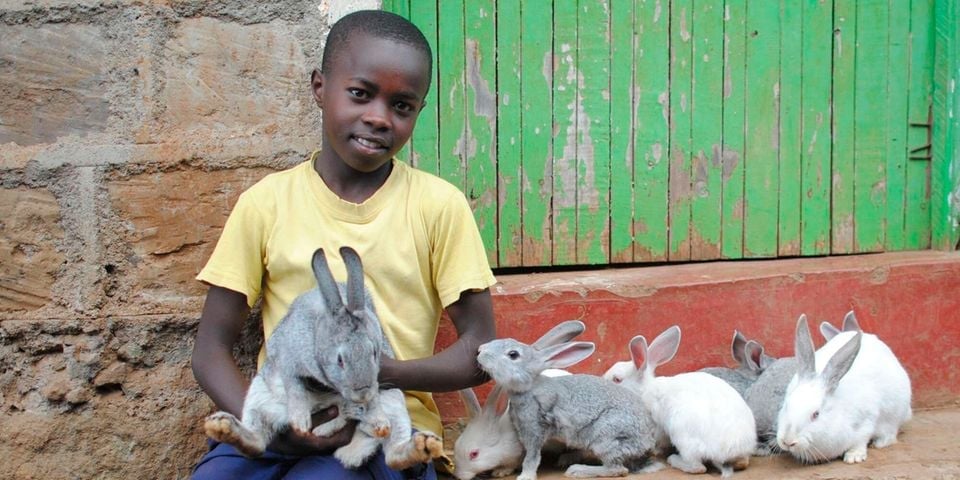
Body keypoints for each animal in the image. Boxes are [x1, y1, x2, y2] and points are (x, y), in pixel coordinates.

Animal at [204, 246, 442, 470]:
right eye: (340, 360)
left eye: (374, 353)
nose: (361, 394)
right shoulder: (288, 361)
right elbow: (295, 389)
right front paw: (300, 422)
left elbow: (375, 399)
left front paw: (379, 421)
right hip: (259, 396)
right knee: (256, 442)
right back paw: (222, 427)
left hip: (394, 402)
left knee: (394, 456)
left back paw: (421, 445)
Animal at [476, 320, 659, 480]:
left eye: (513, 354)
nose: (479, 350)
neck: (529, 387)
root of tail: (647, 441)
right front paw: (504, 470)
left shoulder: (534, 429)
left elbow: (532, 457)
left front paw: (525, 476)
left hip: (606, 438)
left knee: (617, 469)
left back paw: (577, 470)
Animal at [613, 325, 756, 478]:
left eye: (617, 379)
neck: (645, 390)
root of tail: (725, 452)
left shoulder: (657, 425)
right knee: (742, 462)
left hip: (682, 437)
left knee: (698, 467)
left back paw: (674, 460)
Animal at [775, 313, 912, 464]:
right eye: (786, 406)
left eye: (816, 414)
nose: (788, 441)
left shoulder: (866, 421)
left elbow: (861, 440)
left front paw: (854, 457)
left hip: (895, 415)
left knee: (890, 434)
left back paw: (879, 443)